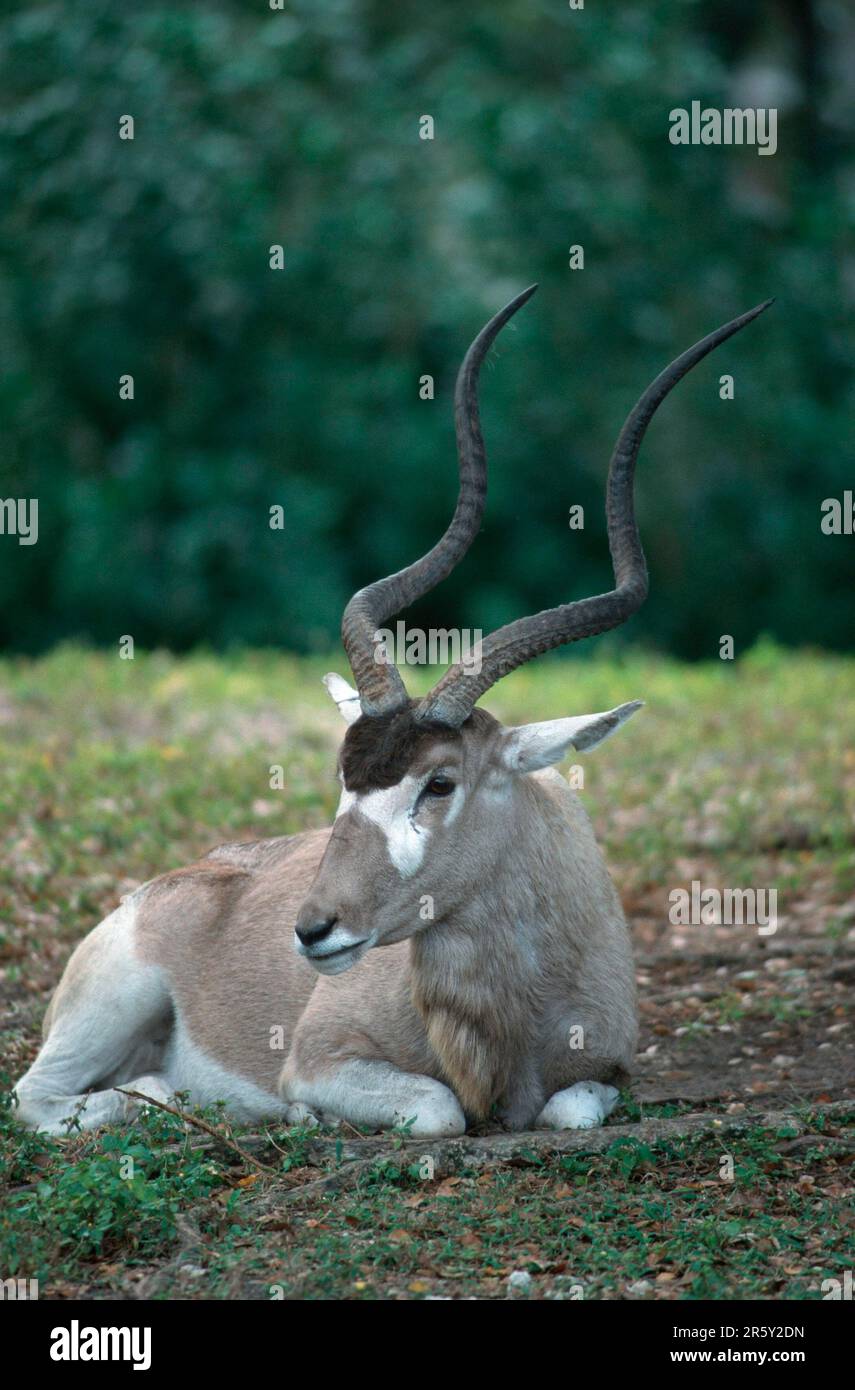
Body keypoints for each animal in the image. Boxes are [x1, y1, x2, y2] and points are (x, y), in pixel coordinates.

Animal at [13, 288, 770, 1138]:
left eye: (438, 783)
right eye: (342, 778)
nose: (314, 930)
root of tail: (158, 890)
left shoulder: (606, 1072)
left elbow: (569, 1110)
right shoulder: (319, 1058)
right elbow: (439, 1109)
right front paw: (307, 1115)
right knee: (44, 1095)